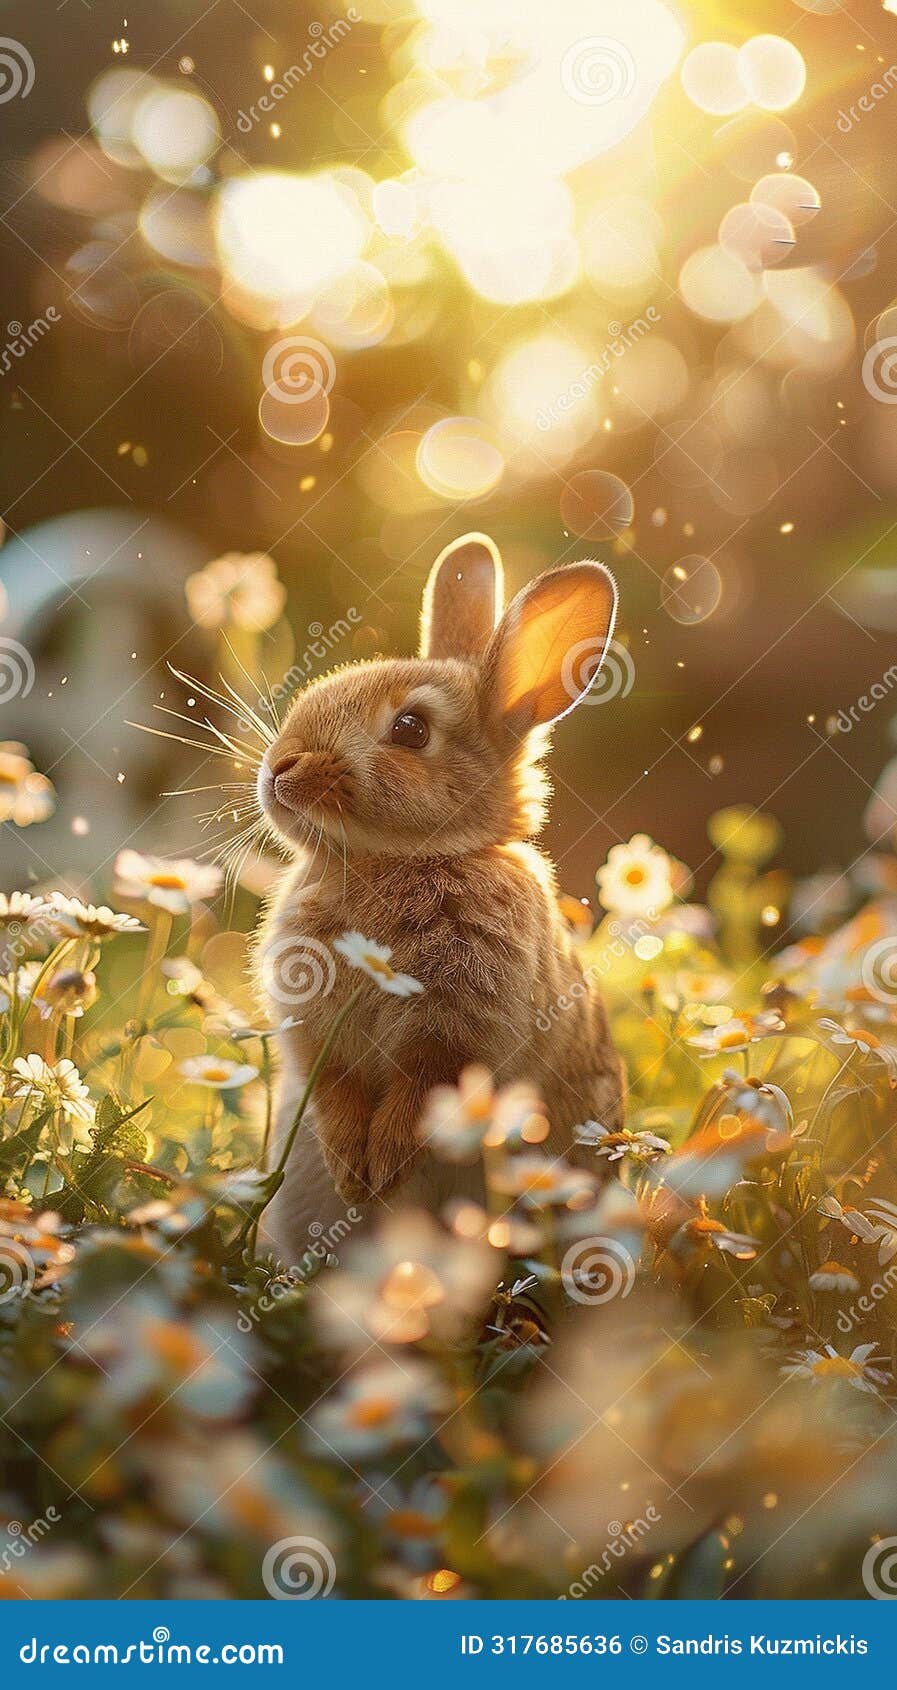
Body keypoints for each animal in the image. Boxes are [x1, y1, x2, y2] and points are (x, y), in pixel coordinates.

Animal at [254, 532, 625, 1261]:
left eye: (409, 730)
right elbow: (330, 1083)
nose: (280, 766)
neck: (400, 858)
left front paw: (383, 1164)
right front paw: (353, 1170)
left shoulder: (460, 1030)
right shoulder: (313, 1028)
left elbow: (423, 1089)